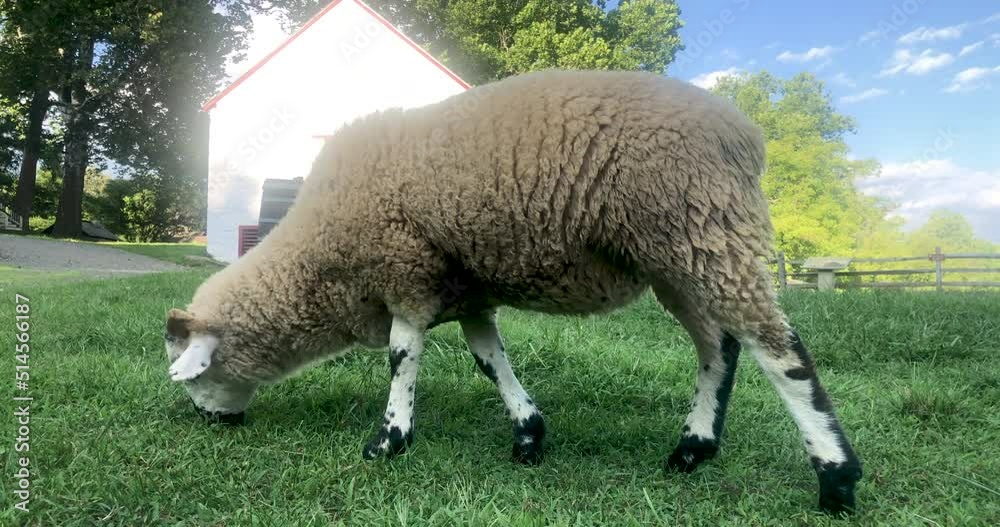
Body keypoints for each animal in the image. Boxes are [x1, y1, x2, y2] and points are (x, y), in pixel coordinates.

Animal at [164, 69, 861, 514]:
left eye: (196, 372)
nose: (210, 423)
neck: (320, 262)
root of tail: (744, 133)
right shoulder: (466, 292)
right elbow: (489, 360)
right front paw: (528, 433)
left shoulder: (406, 271)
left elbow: (401, 358)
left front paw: (388, 441)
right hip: (677, 257)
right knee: (720, 348)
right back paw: (694, 448)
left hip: (702, 225)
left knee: (781, 350)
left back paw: (836, 479)